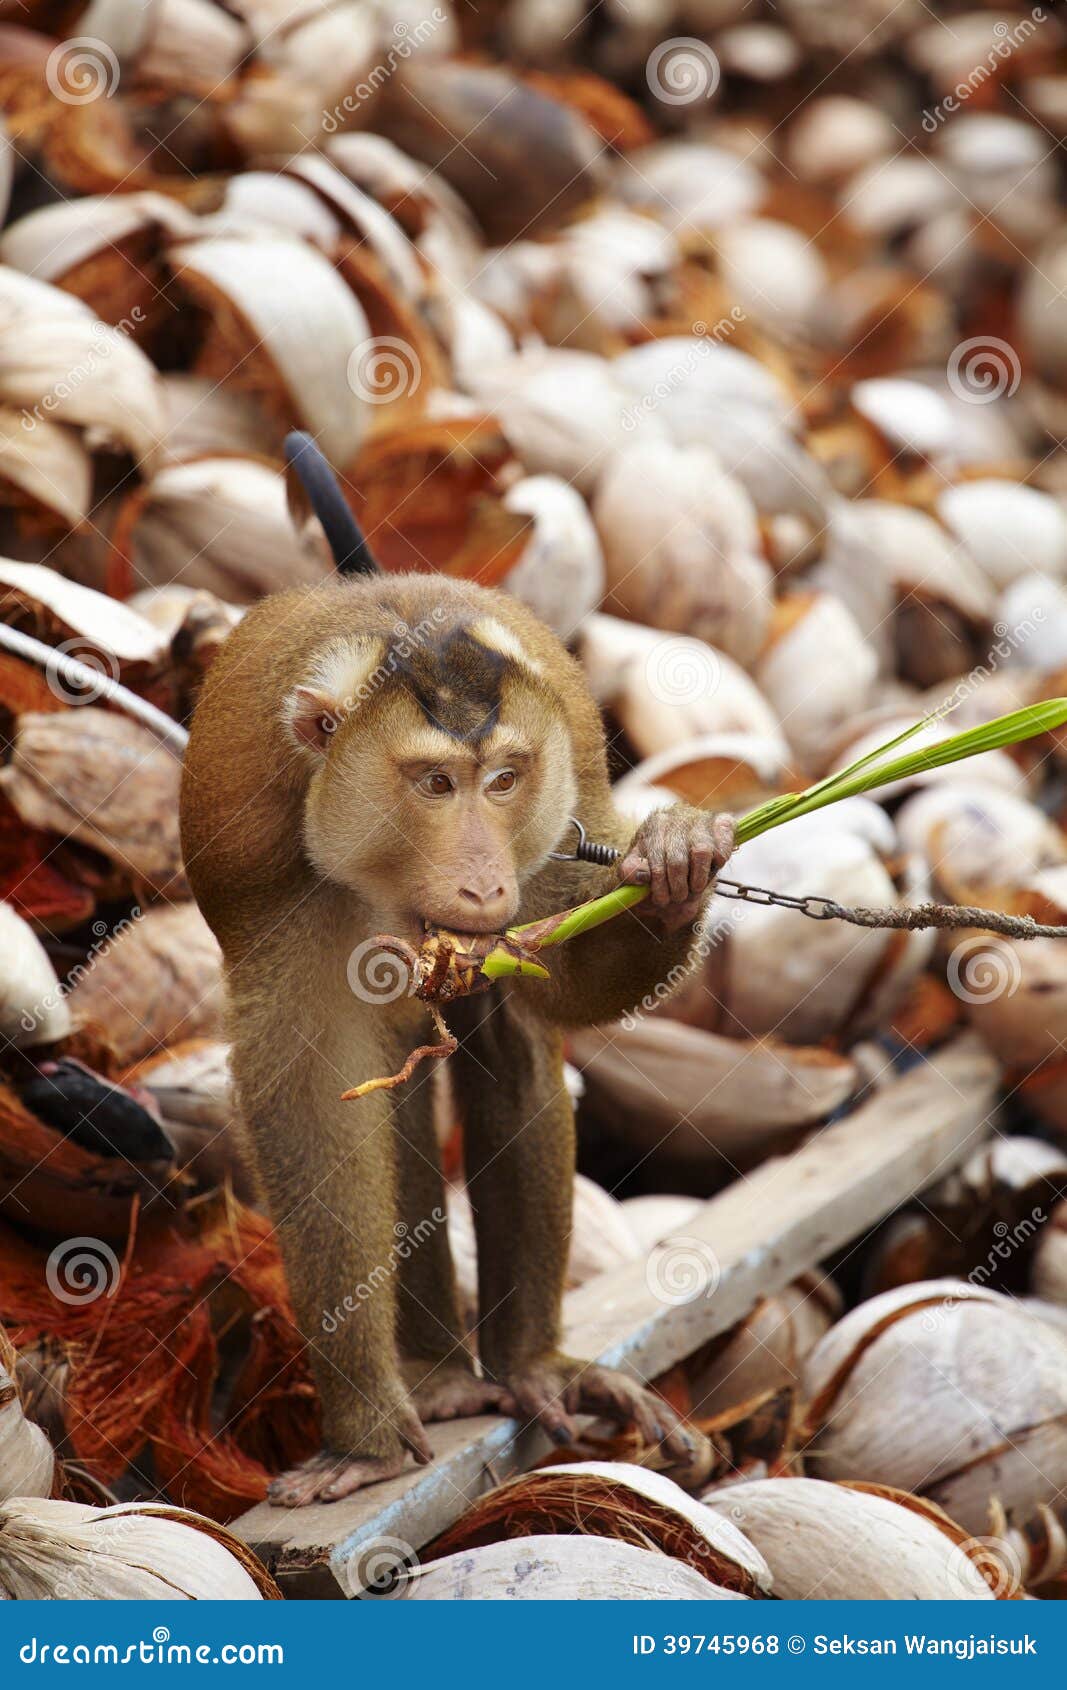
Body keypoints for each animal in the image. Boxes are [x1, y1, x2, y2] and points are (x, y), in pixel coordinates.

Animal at [179, 435, 735, 1507]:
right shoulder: (277, 881)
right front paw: (362, 1429)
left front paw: (672, 873)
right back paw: (437, 1378)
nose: (481, 882)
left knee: (507, 1040)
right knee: (392, 1086)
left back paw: (529, 1365)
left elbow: (569, 984)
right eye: (434, 785)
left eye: (503, 779)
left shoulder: (551, 836)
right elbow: (314, 1090)